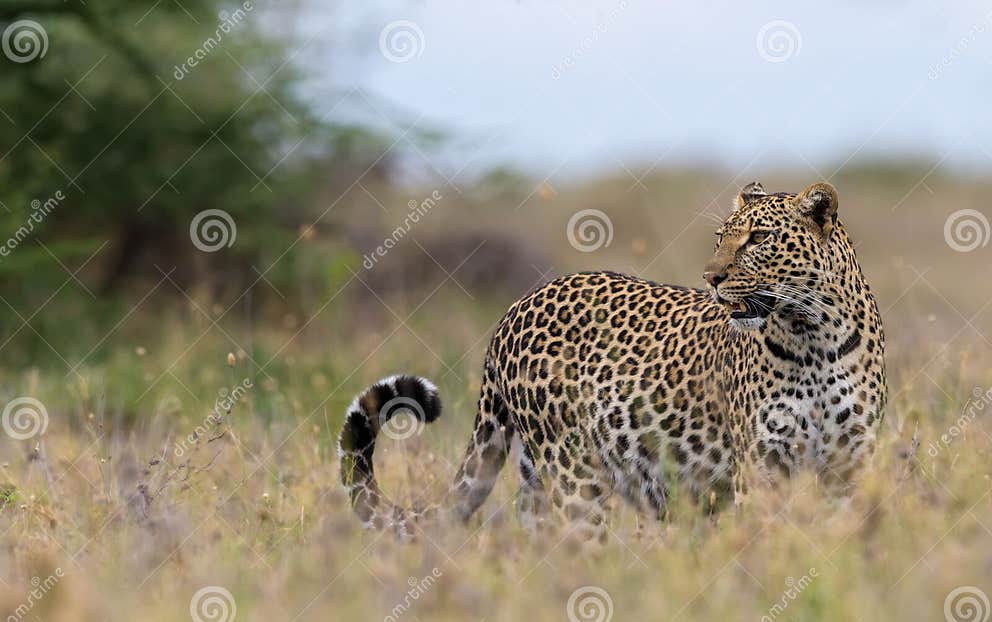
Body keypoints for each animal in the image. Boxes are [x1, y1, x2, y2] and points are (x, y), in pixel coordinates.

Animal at [338, 181, 886, 543]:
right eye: (720, 239)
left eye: (757, 239)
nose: (710, 277)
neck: (811, 335)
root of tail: (514, 308)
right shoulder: (760, 464)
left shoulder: (851, 461)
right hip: (574, 474)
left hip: (536, 479)